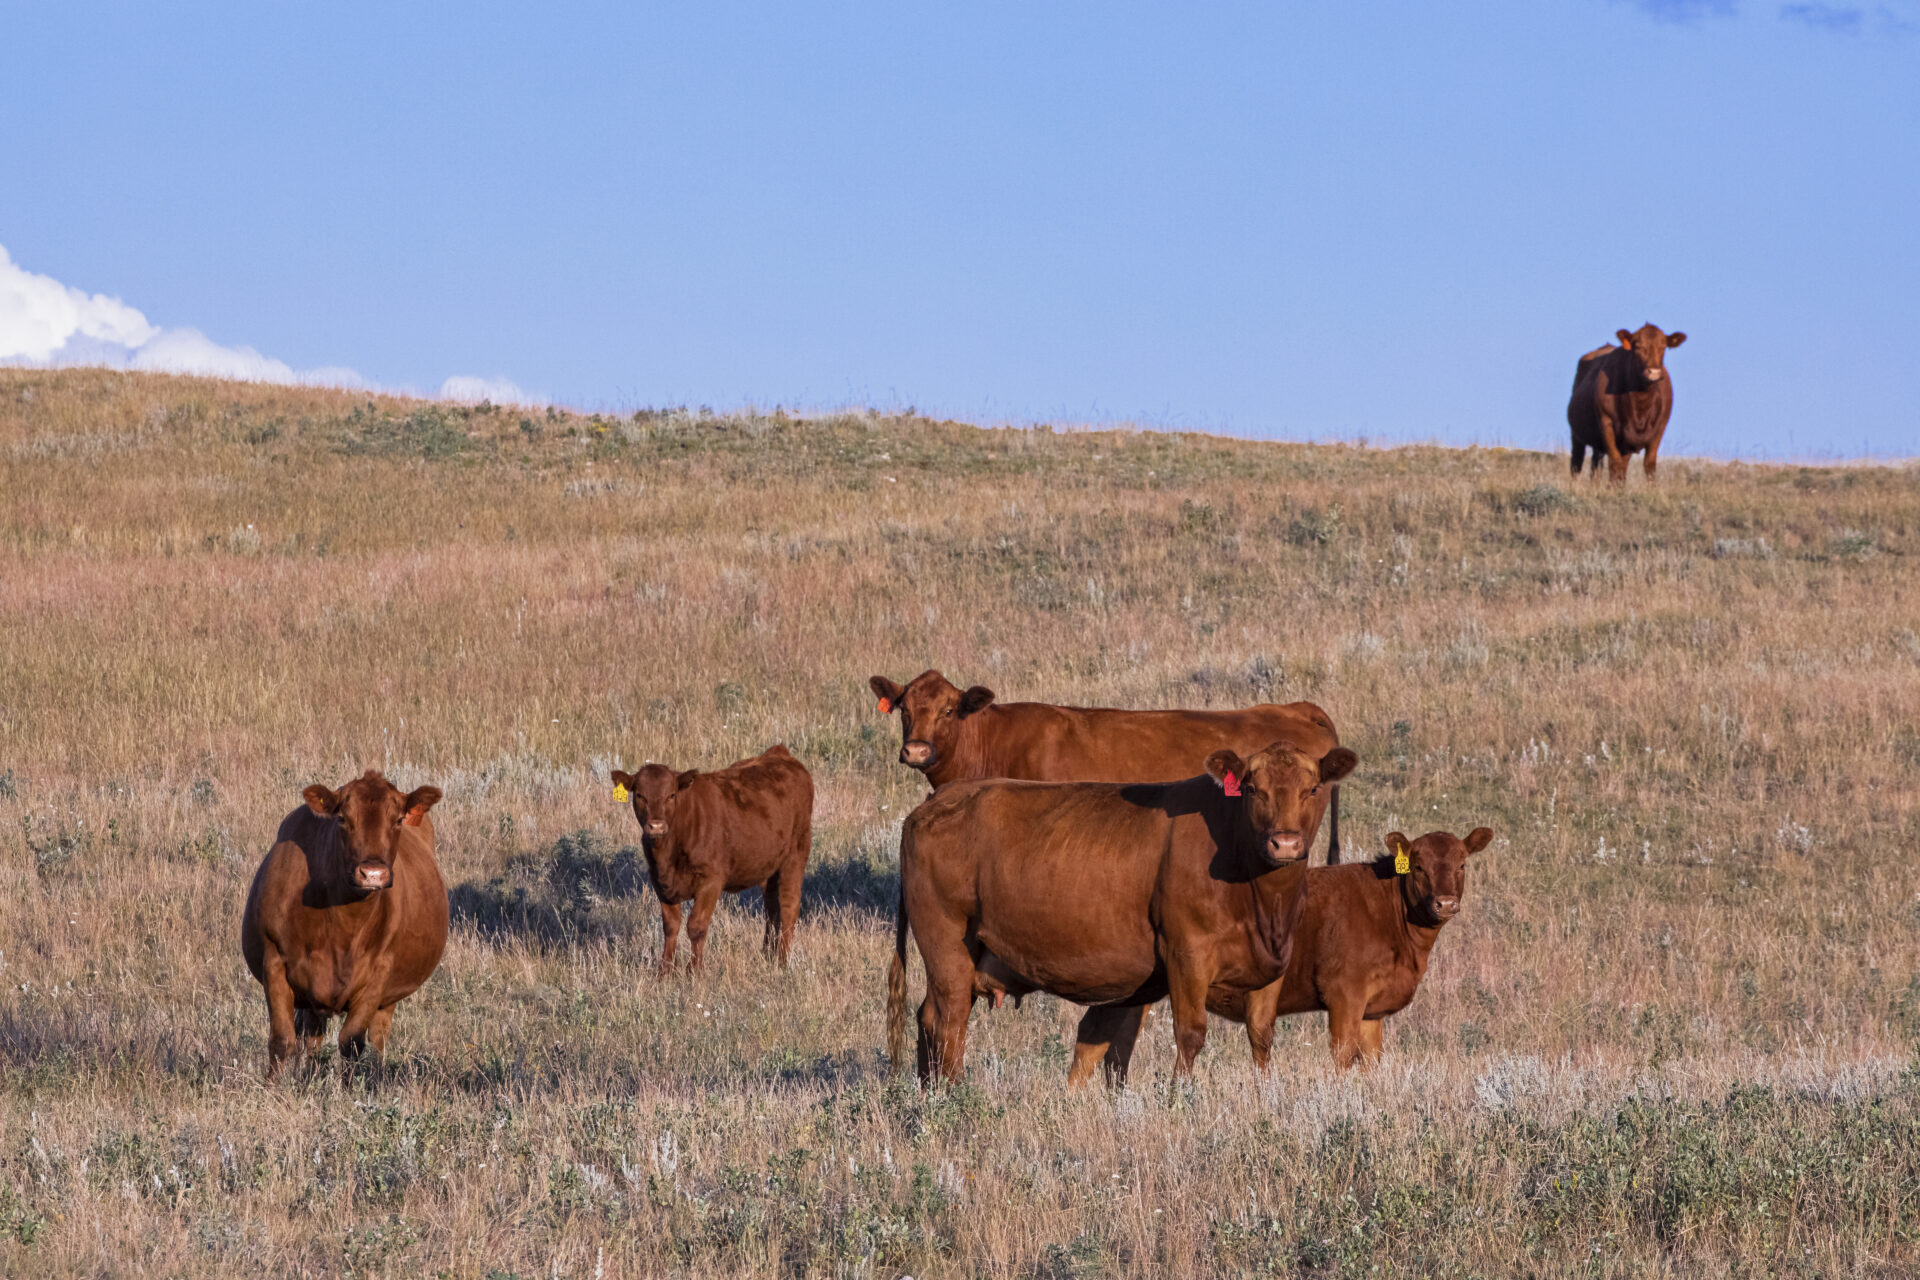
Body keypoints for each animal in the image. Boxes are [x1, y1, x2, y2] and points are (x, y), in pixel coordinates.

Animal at [240, 771, 447, 1080]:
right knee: (311, 1037)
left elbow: (351, 1042)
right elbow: (281, 1039)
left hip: (387, 997)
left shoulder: (378, 975)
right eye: (342, 818)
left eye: (398, 819)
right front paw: (270, 1087)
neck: (341, 927)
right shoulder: (273, 961)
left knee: (377, 1037)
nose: (373, 873)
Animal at [610, 744, 813, 973]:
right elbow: (670, 926)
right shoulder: (660, 881)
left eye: (671, 795)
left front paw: (694, 971)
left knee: (788, 905)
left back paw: (782, 960)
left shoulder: (711, 881)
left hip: (795, 855)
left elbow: (696, 925)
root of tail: (780, 754)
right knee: (771, 908)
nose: (656, 826)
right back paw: (767, 955)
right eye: (639, 795)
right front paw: (665, 971)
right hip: (768, 867)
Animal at [886, 739, 1359, 1086]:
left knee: (929, 1017)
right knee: (947, 1021)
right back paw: (952, 1094)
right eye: (1252, 789)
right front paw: (1180, 1096)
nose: (1285, 843)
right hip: (947, 942)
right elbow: (1190, 1034)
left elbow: (1261, 1036)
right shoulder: (1186, 954)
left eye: (1312, 789)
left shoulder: (1271, 964)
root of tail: (939, 799)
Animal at [1209, 827, 1494, 1070]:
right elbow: (1344, 1053)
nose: (1445, 903)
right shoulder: (1344, 993)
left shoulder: (1372, 1009)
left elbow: (1370, 1058)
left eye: (1462, 865)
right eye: (1419, 867)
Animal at [1568, 323, 1687, 483]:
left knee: (1597, 465)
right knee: (1577, 463)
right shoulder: (1606, 423)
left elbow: (1649, 464)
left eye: (1663, 346)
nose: (1653, 372)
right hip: (1577, 434)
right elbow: (1615, 462)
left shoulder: (1660, 427)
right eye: (1638, 346)